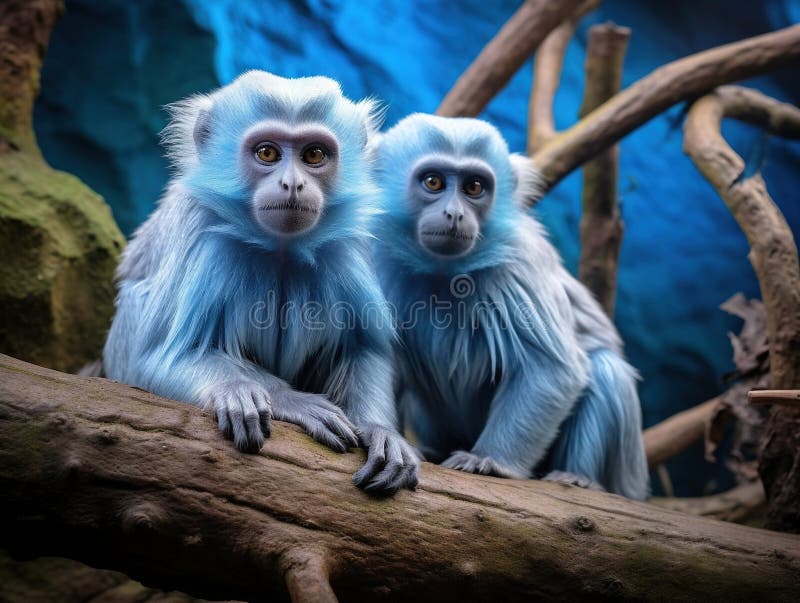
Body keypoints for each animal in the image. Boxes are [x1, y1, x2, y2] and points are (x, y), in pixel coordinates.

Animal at [103, 71, 419, 494]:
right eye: (267, 153)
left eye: (314, 155)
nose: (292, 184)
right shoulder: (200, 230)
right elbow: (157, 361)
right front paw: (273, 398)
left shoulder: (352, 244)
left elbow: (365, 348)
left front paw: (379, 429)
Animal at [370, 114, 648, 499]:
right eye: (433, 181)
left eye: (474, 187)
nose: (454, 214)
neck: (442, 273)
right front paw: (388, 439)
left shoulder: (520, 265)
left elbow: (553, 369)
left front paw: (490, 461)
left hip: (626, 474)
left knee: (607, 369)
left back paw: (580, 477)